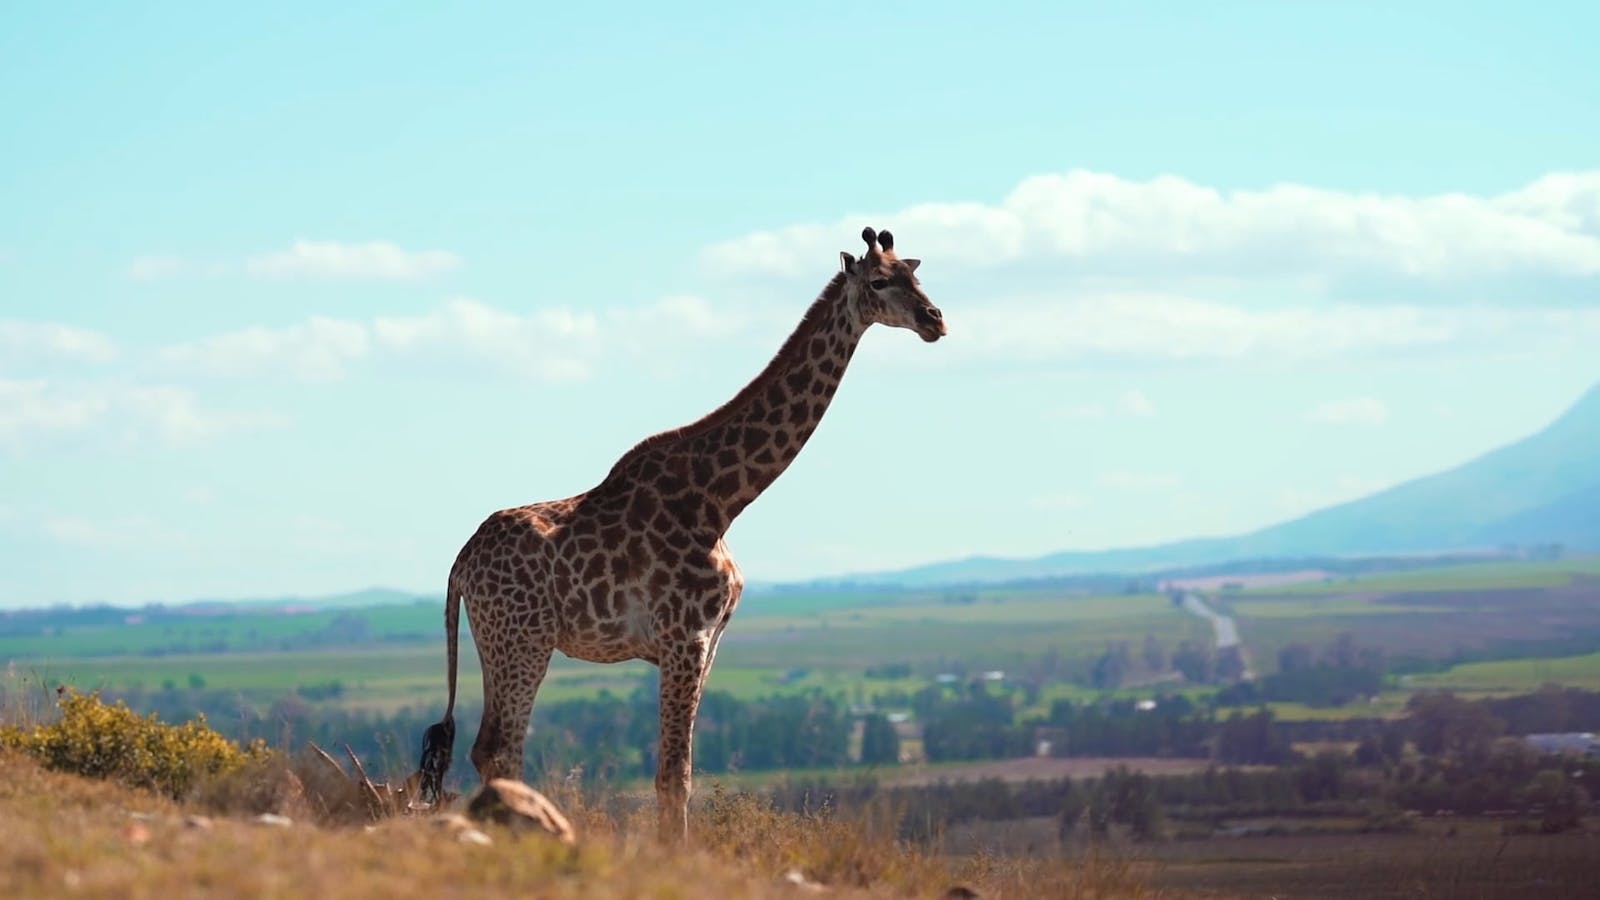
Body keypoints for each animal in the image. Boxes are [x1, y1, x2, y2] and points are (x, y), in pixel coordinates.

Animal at [417, 226, 946, 841]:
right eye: (880, 282)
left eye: (915, 274)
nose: (935, 320)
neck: (723, 500)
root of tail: (460, 563)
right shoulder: (683, 636)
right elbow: (675, 776)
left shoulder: (710, 641)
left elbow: (676, 772)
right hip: (522, 641)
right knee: (500, 748)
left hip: (499, 641)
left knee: (490, 748)